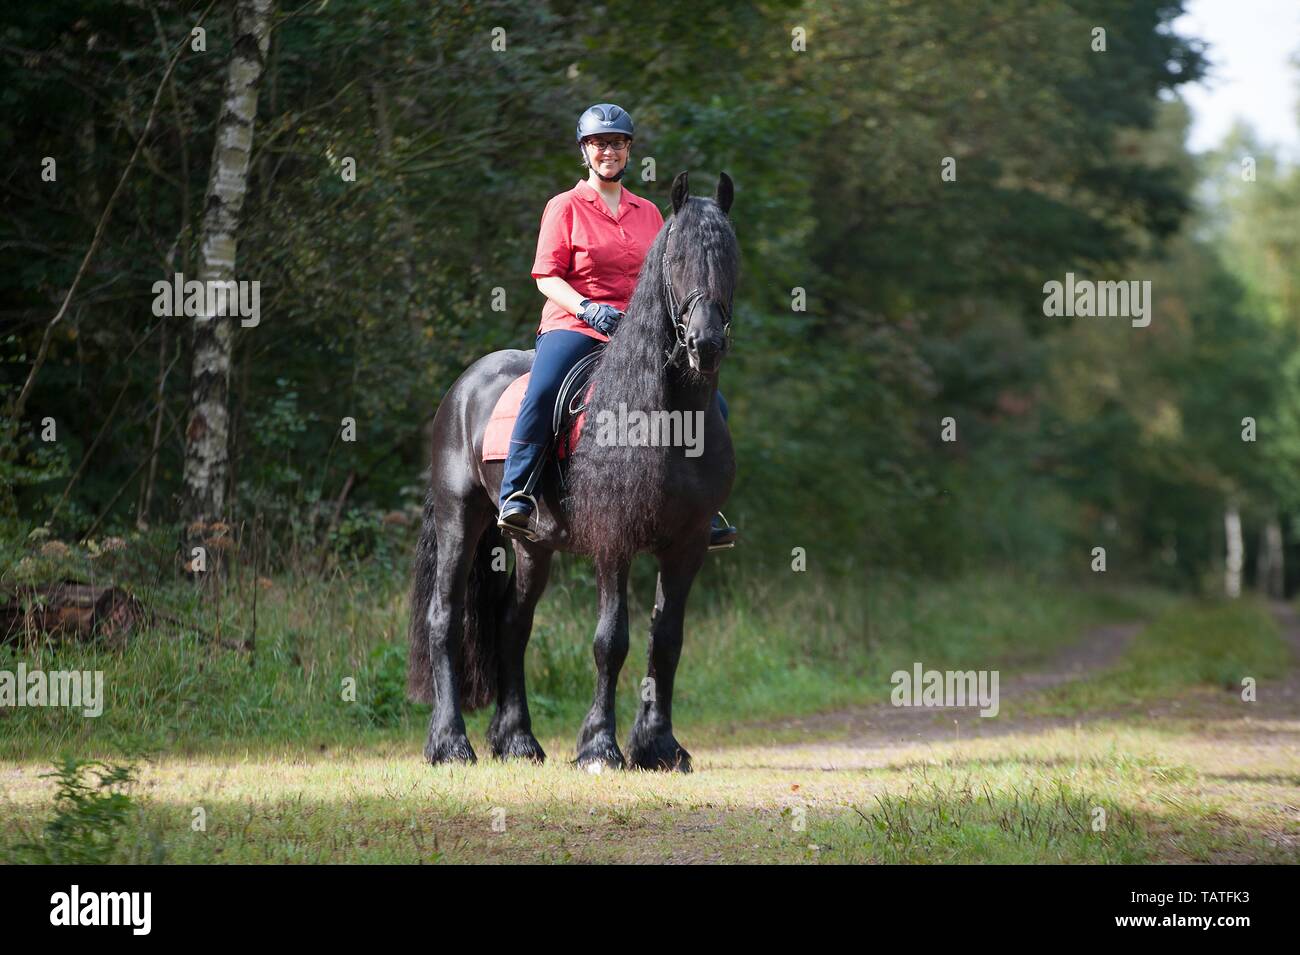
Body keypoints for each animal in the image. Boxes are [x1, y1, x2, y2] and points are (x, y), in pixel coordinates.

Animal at [407, 171, 738, 772]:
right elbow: (612, 639)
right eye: (675, 256)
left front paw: (659, 745)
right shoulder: (614, 539)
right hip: (458, 519)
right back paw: (451, 744)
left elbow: (666, 639)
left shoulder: (688, 543)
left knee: (511, 624)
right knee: (444, 618)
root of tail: (463, 385)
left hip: (531, 543)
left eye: (730, 256)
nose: (706, 345)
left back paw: (517, 741)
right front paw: (600, 747)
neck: (669, 417)